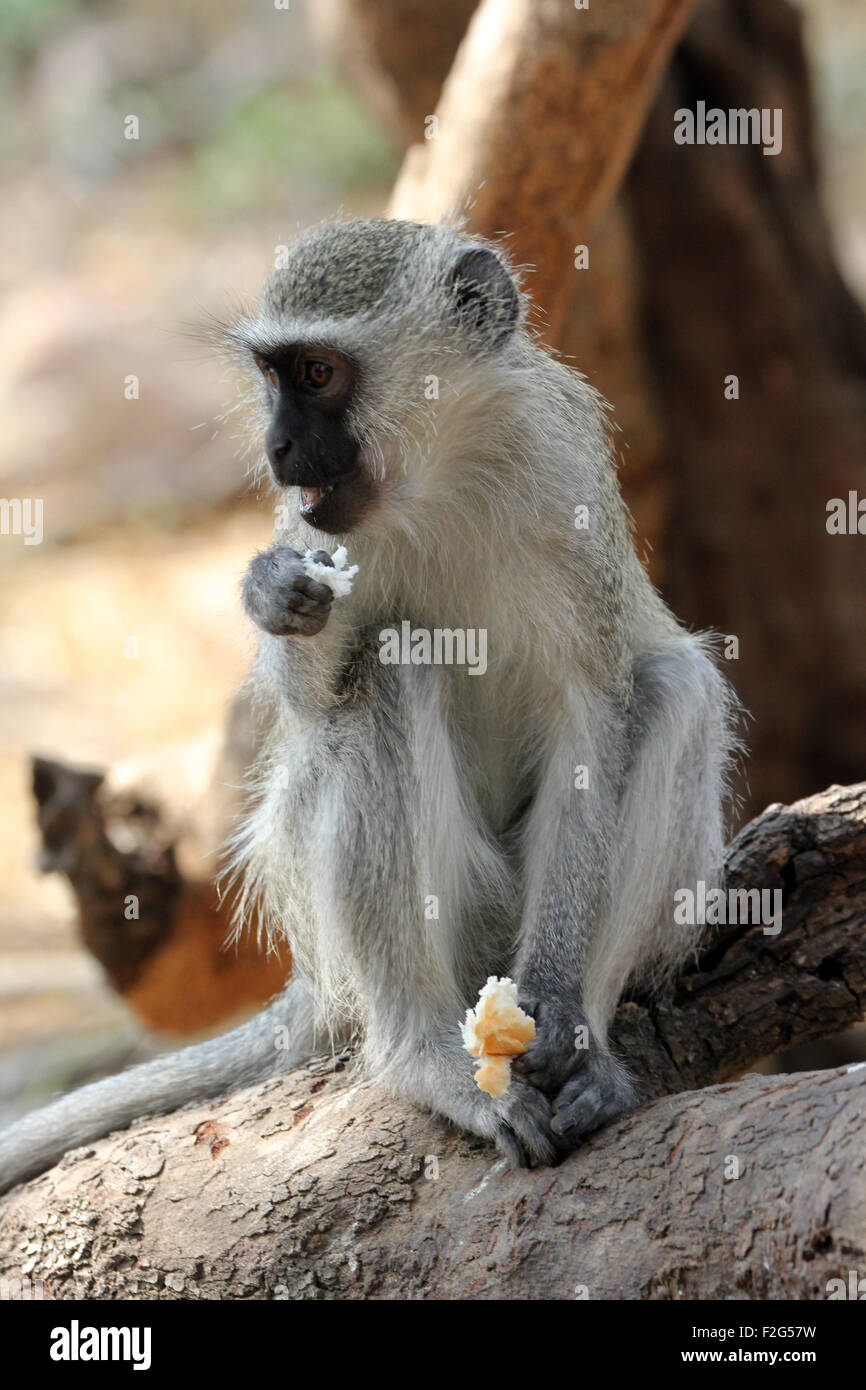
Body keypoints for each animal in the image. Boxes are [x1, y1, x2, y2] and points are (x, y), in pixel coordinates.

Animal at [0, 218, 735, 1192]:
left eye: (317, 374)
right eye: (273, 376)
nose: (277, 450)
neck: (445, 470)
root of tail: (319, 973)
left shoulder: (566, 473)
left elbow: (592, 708)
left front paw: (559, 1004)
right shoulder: (317, 529)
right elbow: (315, 709)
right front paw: (272, 595)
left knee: (674, 687)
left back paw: (590, 1057)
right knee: (388, 672)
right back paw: (422, 1058)